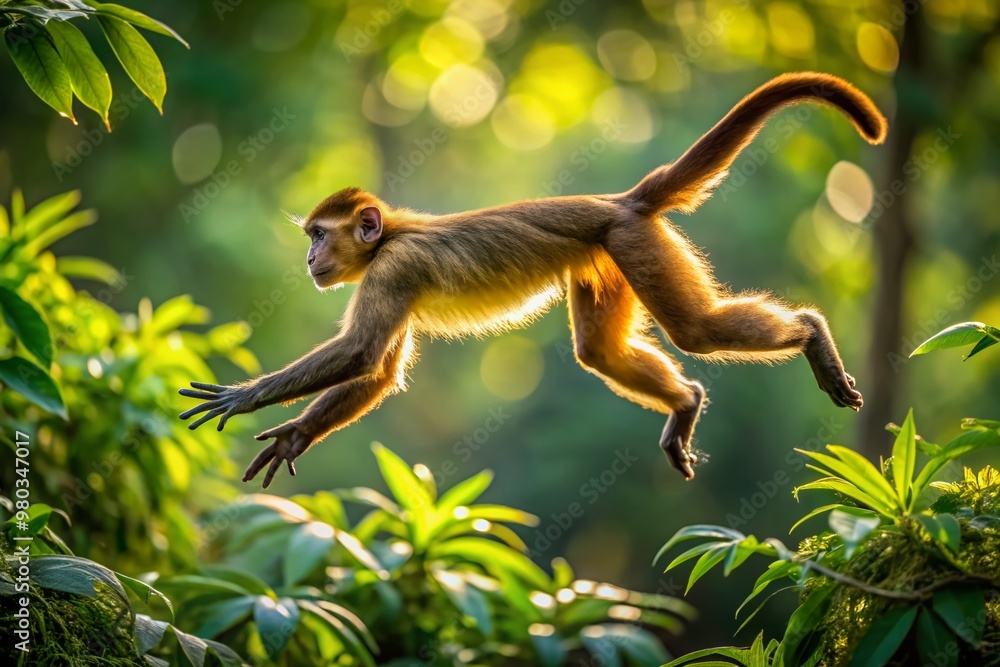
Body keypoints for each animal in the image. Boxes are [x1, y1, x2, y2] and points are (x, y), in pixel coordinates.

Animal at [180, 72, 886, 489]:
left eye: (320, 236)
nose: (309, 261)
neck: (394, 234)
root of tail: (618, 202)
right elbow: (377, 371)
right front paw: (294, 434)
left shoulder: (392, 271)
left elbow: (359, 354)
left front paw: (245, 397)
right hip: (609, 256)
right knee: (599, 350)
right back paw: (685, 404)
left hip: (636, 242)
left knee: (695, 331)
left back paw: (812, 335)